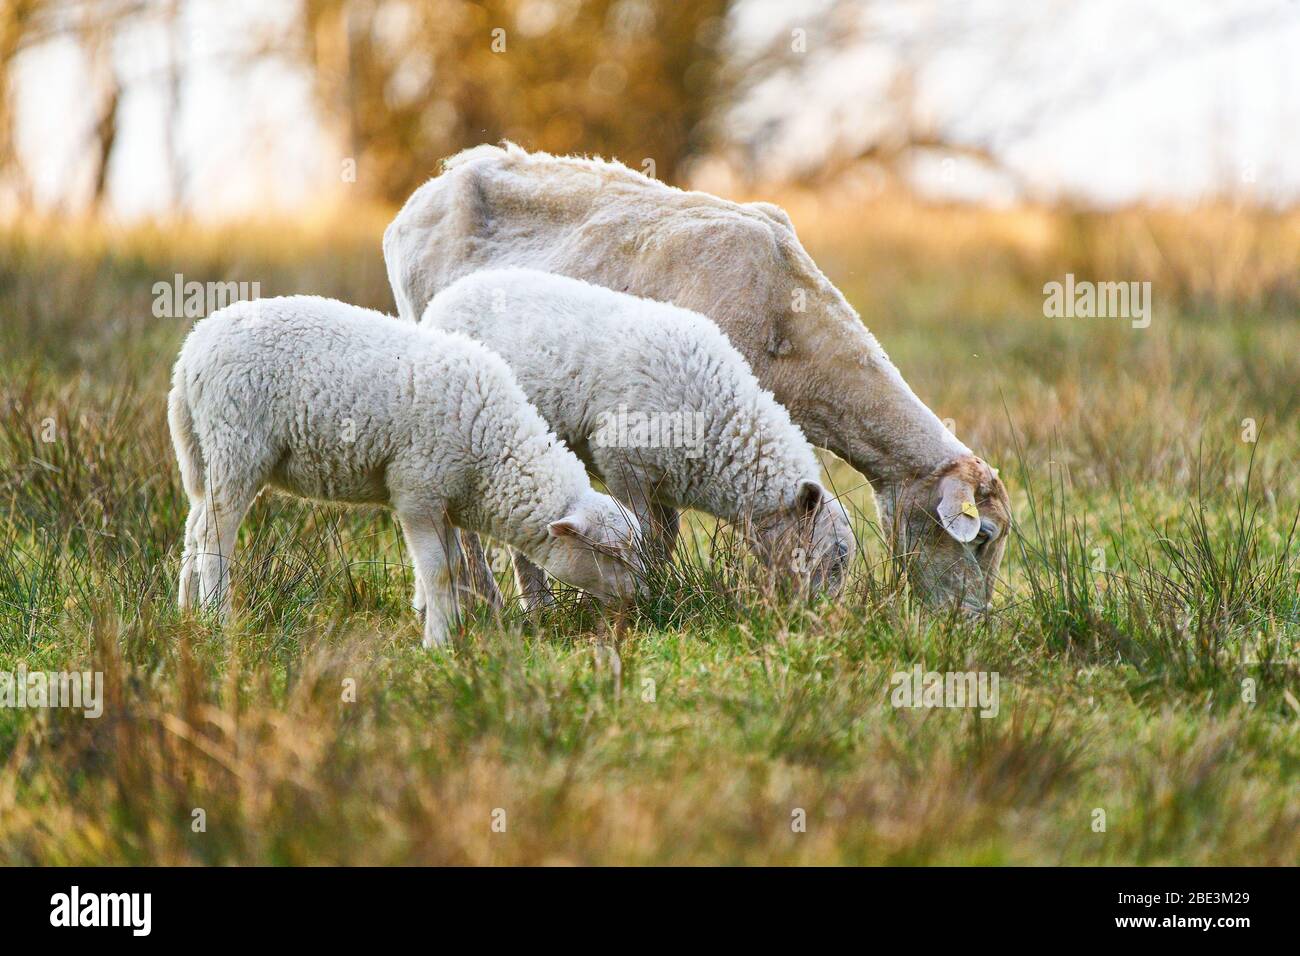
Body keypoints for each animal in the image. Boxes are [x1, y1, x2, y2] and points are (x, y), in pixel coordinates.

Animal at [168, 295, 642, 648]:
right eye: (612, 556)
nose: (642, 602)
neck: (492, 450)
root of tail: (191, 351)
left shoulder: (444, 500)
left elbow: (453, 565)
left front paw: (443, 623)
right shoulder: (418, 491)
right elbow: (440, 570)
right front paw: (438, 643)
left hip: (206, 454)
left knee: (193, 529)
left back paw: (187, 614)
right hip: (237, 447)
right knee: (214, 535)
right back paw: (217, 617)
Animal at [419, 268, 856, 609]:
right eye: (837, 558)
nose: (825, 615)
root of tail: (446, 297)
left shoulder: (667, 478)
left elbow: (664, 539)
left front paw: (659, 584)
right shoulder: (624, 461)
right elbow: (641, 533)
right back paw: (501, 600)